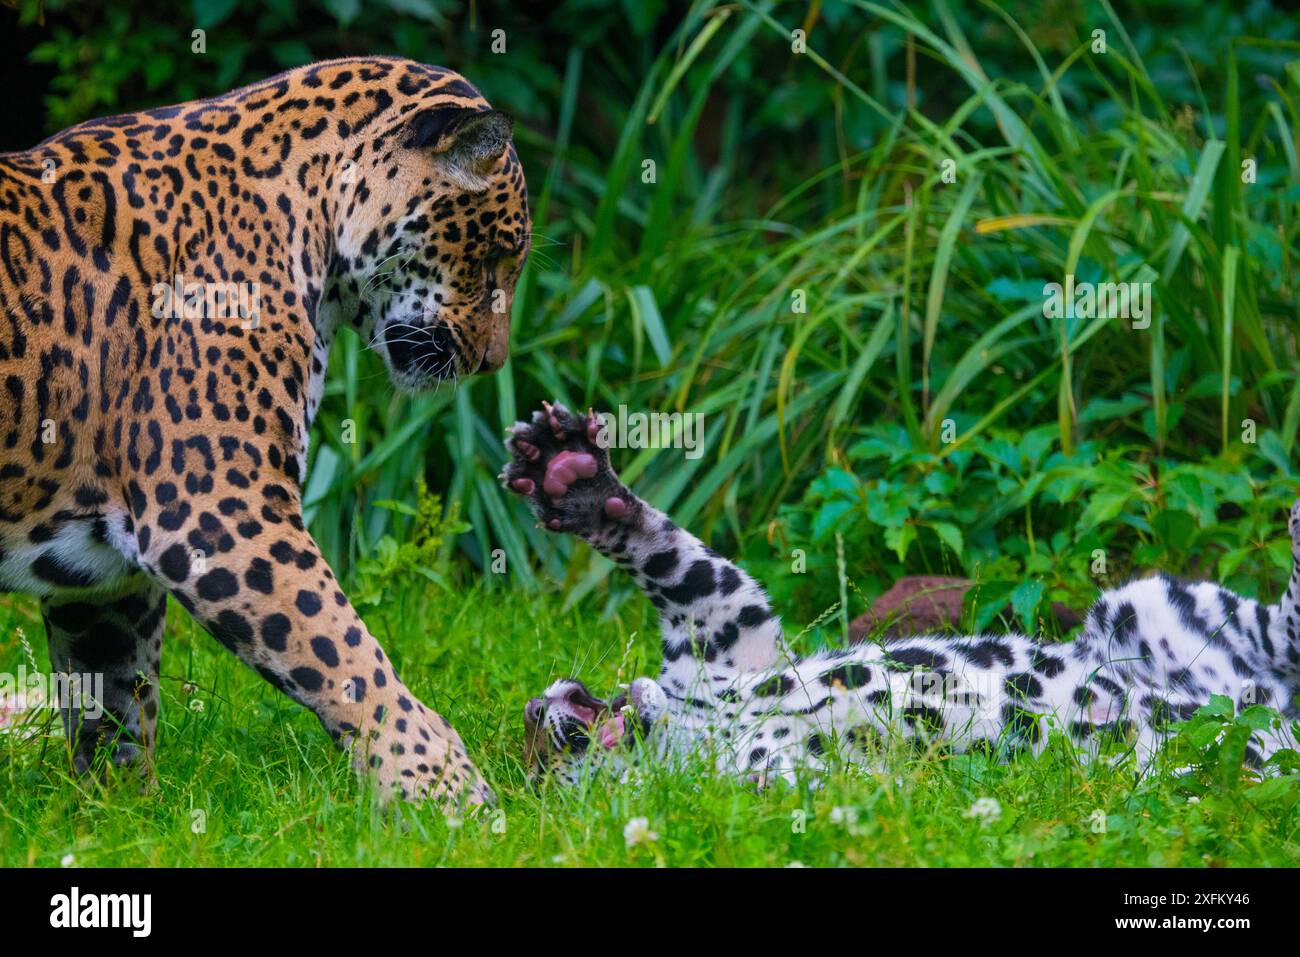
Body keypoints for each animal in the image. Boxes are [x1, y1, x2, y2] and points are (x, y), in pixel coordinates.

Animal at [0, 55, 533, 806]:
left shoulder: (99, 577)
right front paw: (445, 791)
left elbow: (116, 694)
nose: (493, 361)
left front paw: (122, 809)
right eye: (492, 256)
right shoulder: (220, 508)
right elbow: (343, 650)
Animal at [503, 402, 1300, 786]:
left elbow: (677, 561)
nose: (537, 708)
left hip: (1144, 603)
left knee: (1283, 627)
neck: (699, 726)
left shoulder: (730, 637)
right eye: (541, 766)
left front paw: (572, 477)